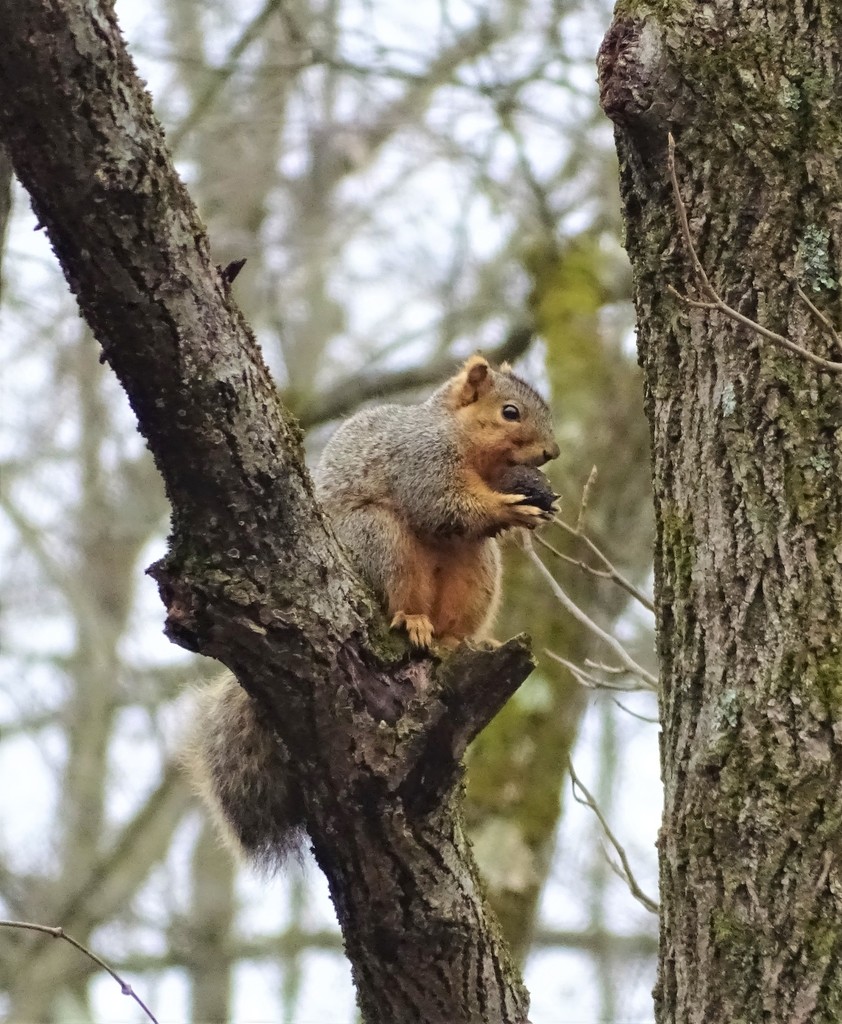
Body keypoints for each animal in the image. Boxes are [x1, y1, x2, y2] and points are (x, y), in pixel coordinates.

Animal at [182, 354, 559, 867]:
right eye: (510, 413)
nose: (552, 453)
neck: (468, 445)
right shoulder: (421, 461)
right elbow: (443, 505)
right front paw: (510, 508)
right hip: (379, 541)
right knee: (399, 595)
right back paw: (414, 620)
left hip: (478, 571)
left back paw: (458, 639)